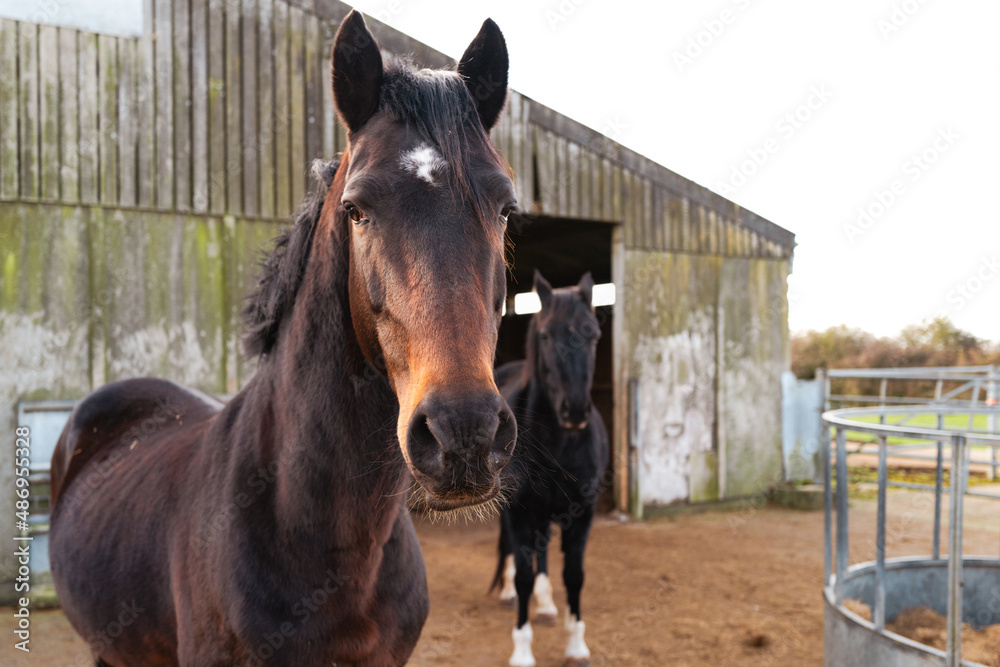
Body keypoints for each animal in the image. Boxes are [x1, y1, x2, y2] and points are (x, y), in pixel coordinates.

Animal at [490, 271, 610, 667]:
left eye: (593, 334)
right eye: (545, 335)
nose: (575, 410)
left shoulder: (582, 513)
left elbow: (574, 575)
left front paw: (576, 645)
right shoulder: (519, 510)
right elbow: (524, 573)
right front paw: (522, 650)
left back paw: (545, 605)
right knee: (514, 550)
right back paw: (510, 593)